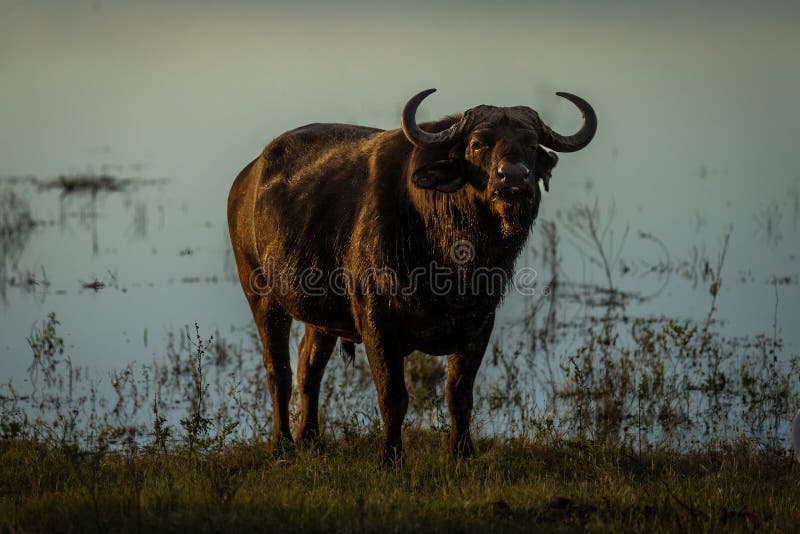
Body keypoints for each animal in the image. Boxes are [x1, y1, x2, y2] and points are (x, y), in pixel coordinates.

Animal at [227, 88, 596, 464]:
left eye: (531, 143)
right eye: (478, 143)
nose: (514, 178)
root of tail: (247, 179)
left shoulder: (480, 323)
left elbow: (459, 394)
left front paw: (462, 452)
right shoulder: (376, 322)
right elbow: (393, 396)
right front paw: (391, 457)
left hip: (321, 317)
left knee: (309, 367)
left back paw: (312, 439)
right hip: (260, 294)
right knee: (279, 370)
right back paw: (282, 445)